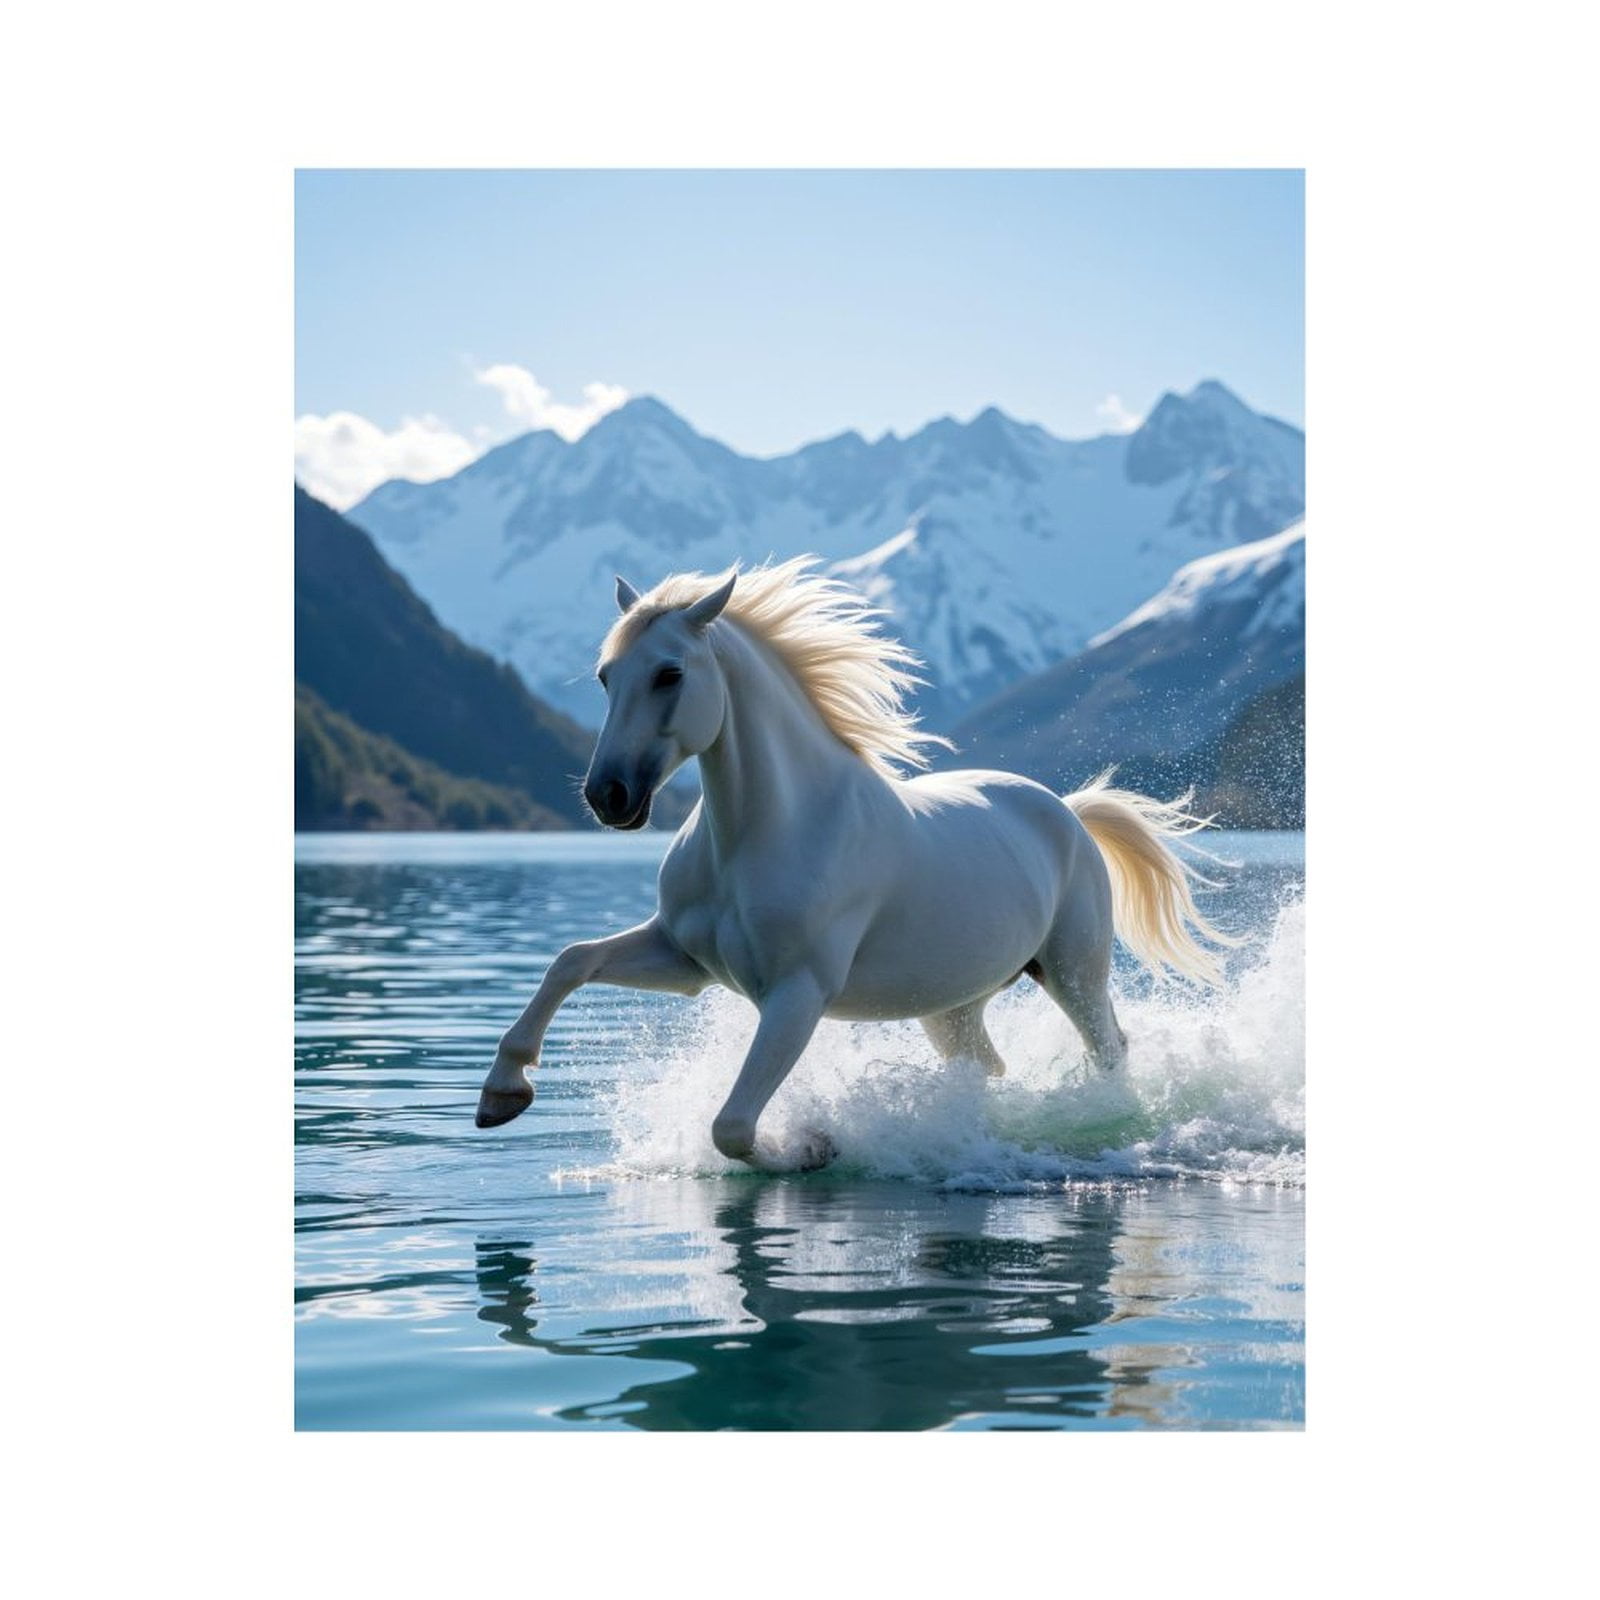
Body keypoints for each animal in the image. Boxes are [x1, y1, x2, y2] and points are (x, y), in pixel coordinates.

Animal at [475, 558, 1235, 1170]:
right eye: (606, 676)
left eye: (669, 673)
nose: (608, 797)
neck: (764, 834)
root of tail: (1069, 811)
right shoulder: (685, 960)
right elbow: (571, 960)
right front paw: (502, 1094)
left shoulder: (797, 993)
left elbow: (732, 1127)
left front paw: (814, 1147)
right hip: (952, 1004)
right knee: (985, 1065)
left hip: (1074, 971)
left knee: (1110, 1050)